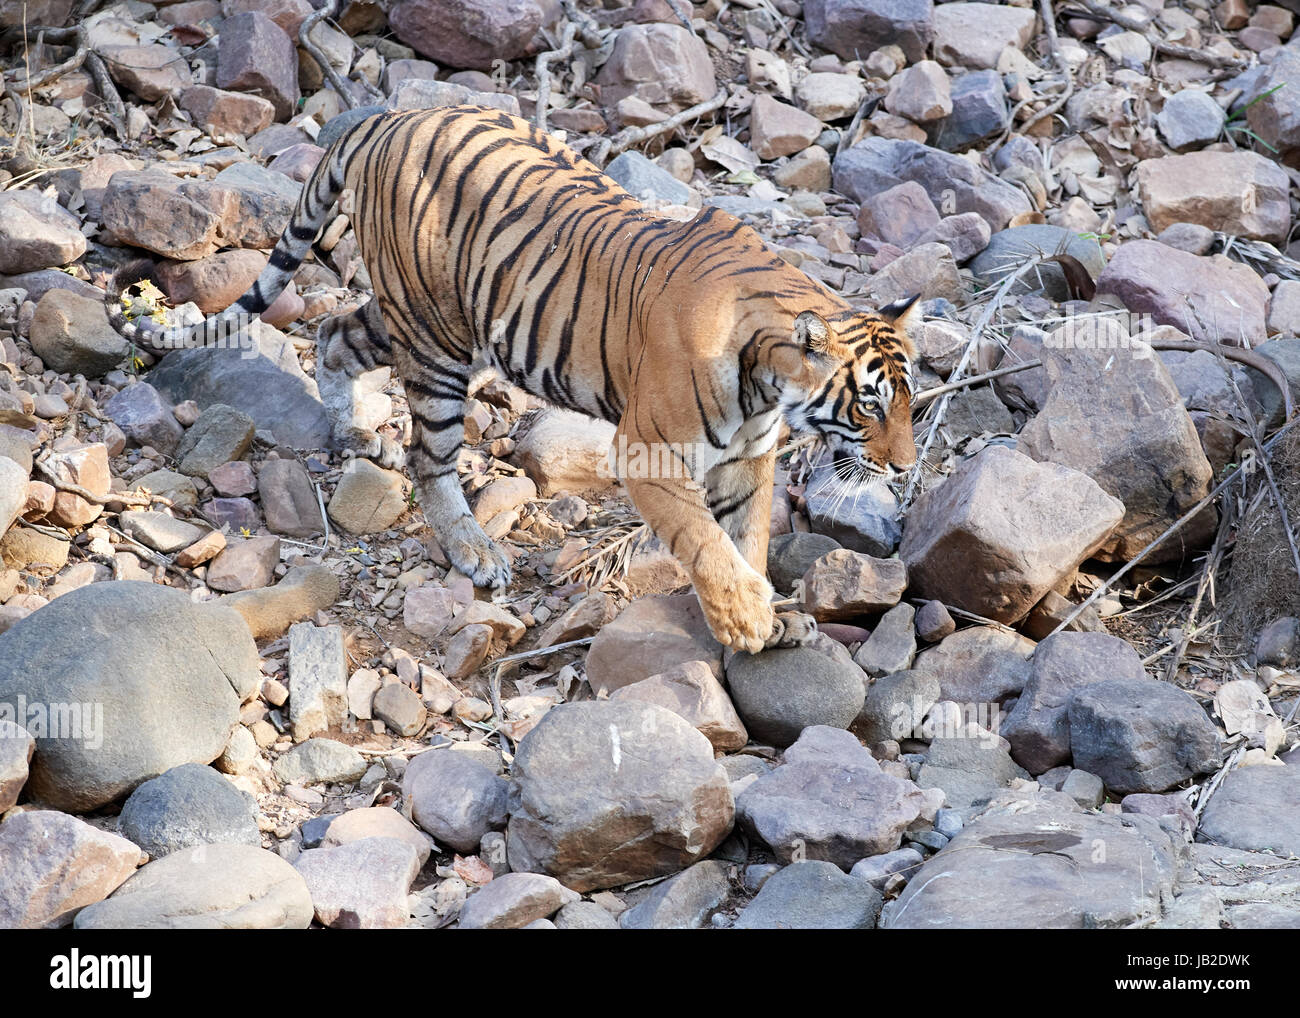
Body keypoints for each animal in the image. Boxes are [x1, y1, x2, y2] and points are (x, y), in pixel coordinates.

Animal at [110, 105, 920, 655]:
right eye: (870, 405)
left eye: (908, 406)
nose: (908, 470)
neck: (765, 384)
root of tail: (388, 116)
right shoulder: (649, 453)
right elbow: (705, 540)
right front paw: (747, 617)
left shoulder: (748, 457)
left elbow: (745, 536)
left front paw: (771, 614)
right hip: (439, 343)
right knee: (428, 459)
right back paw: (474, 551)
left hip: (419, 316)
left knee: (335, 334)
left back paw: (351, 430)